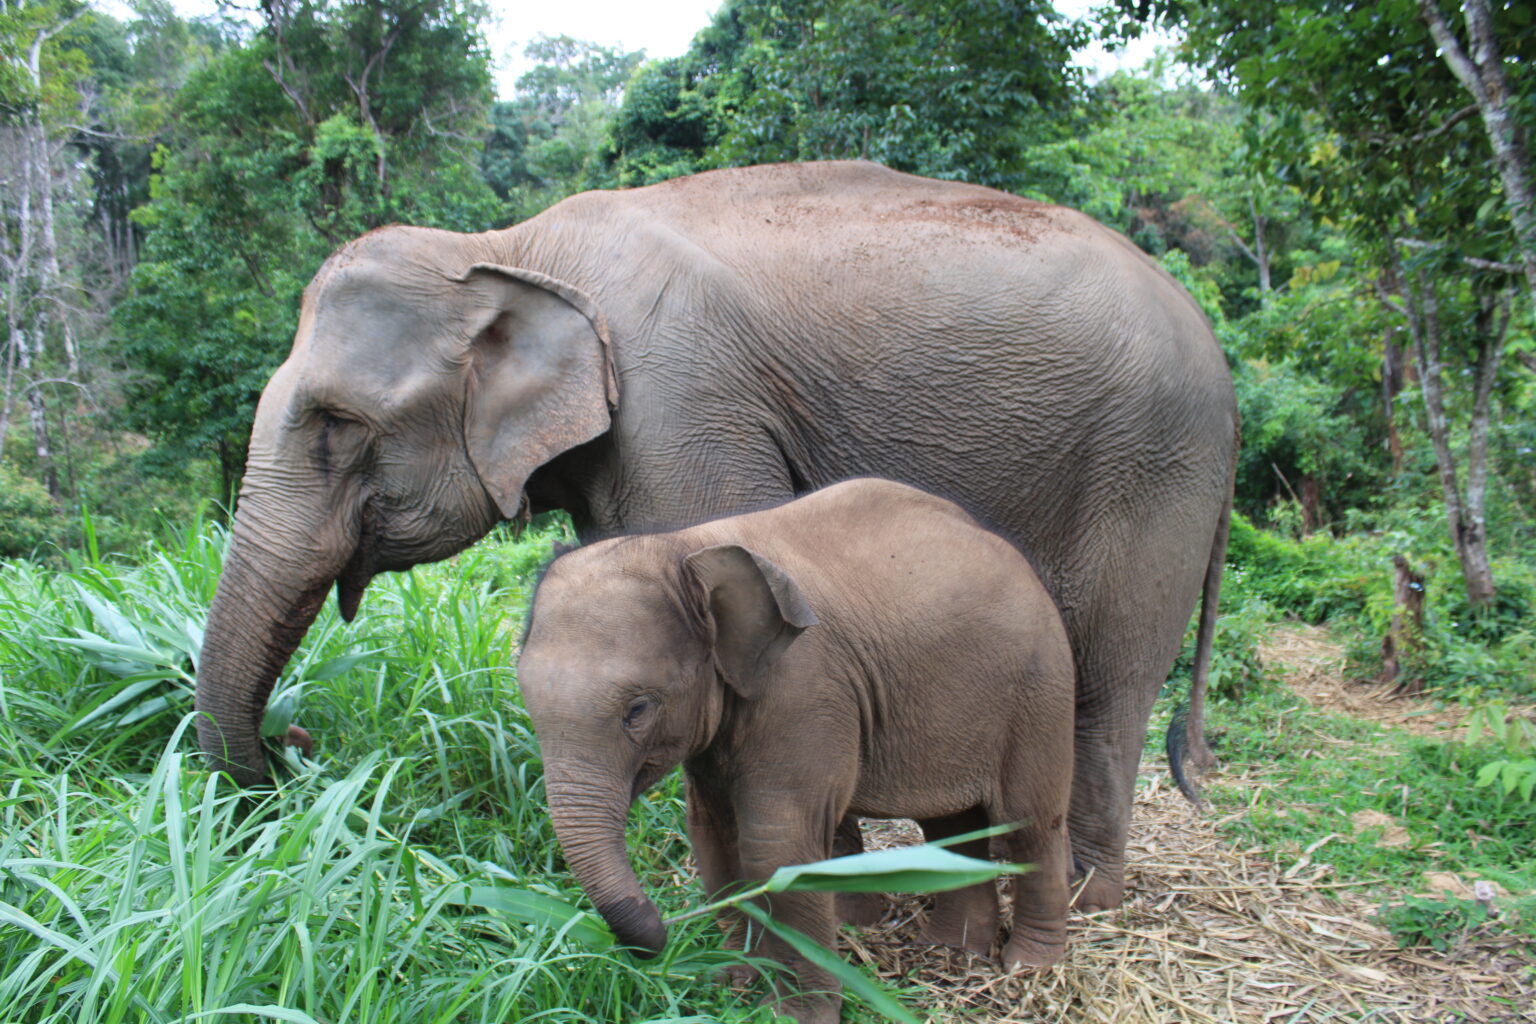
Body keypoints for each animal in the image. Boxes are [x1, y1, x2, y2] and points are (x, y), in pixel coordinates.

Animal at [193, 160, 1237, 914]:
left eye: (335, 426)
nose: (297, 742)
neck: (508, 247)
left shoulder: (680, 406)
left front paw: (826, 908)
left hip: (1151, 474)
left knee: (1105, 686)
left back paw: (1084, 902)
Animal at [518, 478, 1076, 1024]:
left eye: (638, 710)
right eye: (526, 704)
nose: (658, 933)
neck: (682, 545)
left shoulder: (804, 690)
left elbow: (776, 847)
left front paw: (794, 1013)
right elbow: (713, 838)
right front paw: (734, 982)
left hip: (1041, 687)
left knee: (1029, 823)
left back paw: (1028, 965)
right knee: (952, 825)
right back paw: (953, 951)